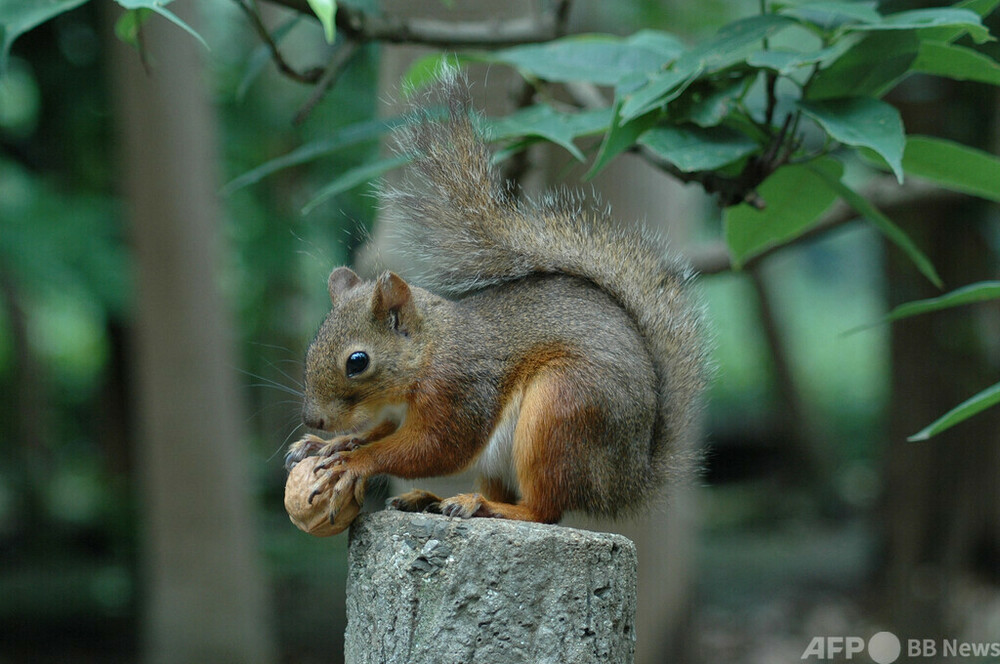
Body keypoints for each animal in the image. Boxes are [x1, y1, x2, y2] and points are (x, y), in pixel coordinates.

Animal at [285, 71, 707, 524]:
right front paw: (328, 445)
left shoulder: (457, 392)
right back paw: (432, 499)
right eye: (312, 347)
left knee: (544, 510)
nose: (314, 419)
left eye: (357, 362)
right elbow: (378, 434)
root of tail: (626, 480)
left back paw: (486, 505)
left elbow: (433, 449)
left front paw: (353, 461)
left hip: (560, 410)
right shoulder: (397, 414)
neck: (429, 352)